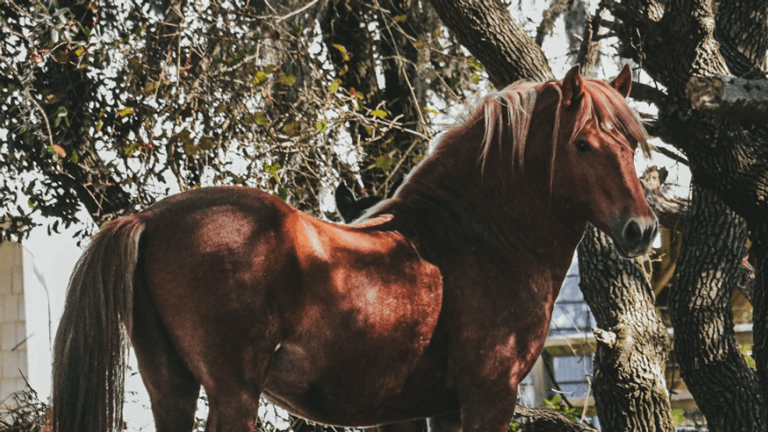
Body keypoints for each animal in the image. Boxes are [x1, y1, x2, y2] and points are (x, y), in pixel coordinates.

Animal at [52, 65, 657, 432]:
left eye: (630, 143)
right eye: (582, 144)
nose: (642, 230)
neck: (478, 239)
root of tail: (149, 217)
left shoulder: (429, 408)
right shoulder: (490, 392)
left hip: (172, 388)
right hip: (233, 392)